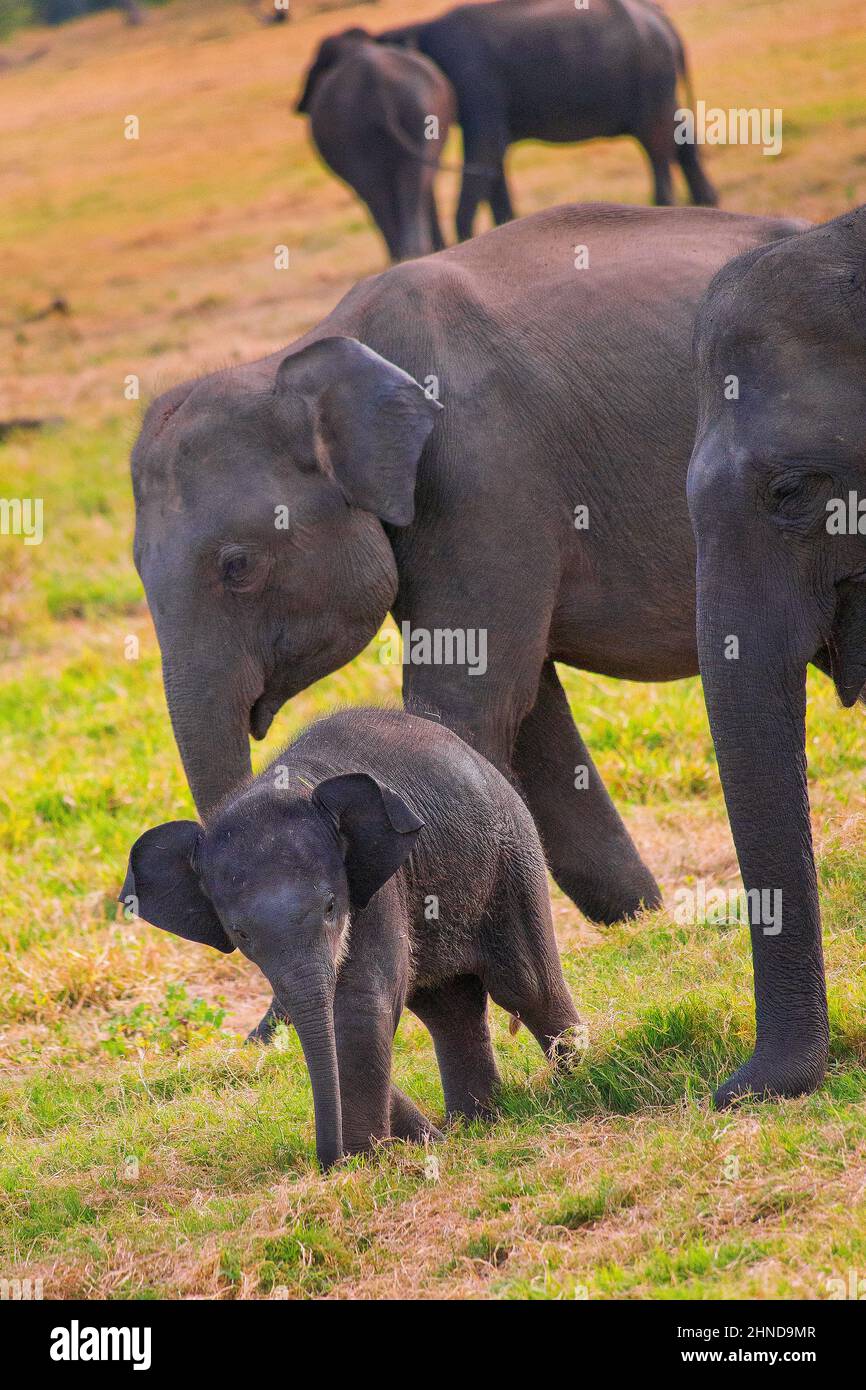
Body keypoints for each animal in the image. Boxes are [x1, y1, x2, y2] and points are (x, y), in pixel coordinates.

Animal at [122, 708, 579, 1168]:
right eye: (241, 933)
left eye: (329, 907)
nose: (328, 1161)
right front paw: (387, 1152)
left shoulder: (374, 885)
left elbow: (361, 1005)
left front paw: (363, 1163)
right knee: (448, 1007)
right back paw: (476, 1124)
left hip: (511, 854)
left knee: (526, 987)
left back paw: (574, 1081)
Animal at [130, 200, 804, 1054]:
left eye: (236, 565)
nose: (261, 1033)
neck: (306, 352)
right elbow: (533, 722)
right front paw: (640, 919)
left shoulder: (488, 474)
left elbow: (464, 705)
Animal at [366, 0, 718, 240]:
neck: (417, 27)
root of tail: (662, 18)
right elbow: (491, 159)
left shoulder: (475, 79)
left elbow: (487, 149)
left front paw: (468, 239)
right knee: (678, 131)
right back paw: (706, 203)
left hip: (650, 72)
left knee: (656, 140)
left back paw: (666, 207)